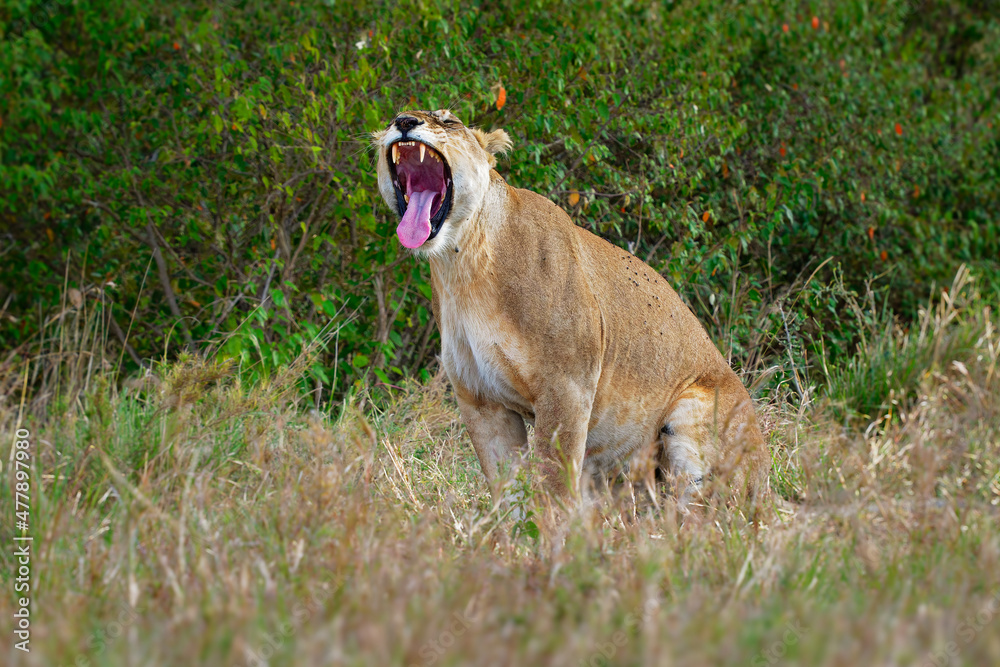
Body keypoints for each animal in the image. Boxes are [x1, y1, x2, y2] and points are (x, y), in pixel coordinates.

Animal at [373, 109, 770, 516]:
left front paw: (556, 532)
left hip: (696, 413)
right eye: (393, 118)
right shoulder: (480, 400)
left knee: (704, 512)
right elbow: (506, 487)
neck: (463, 264)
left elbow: (553, 481)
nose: (404, 122)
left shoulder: (566, 387)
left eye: (448, 121)